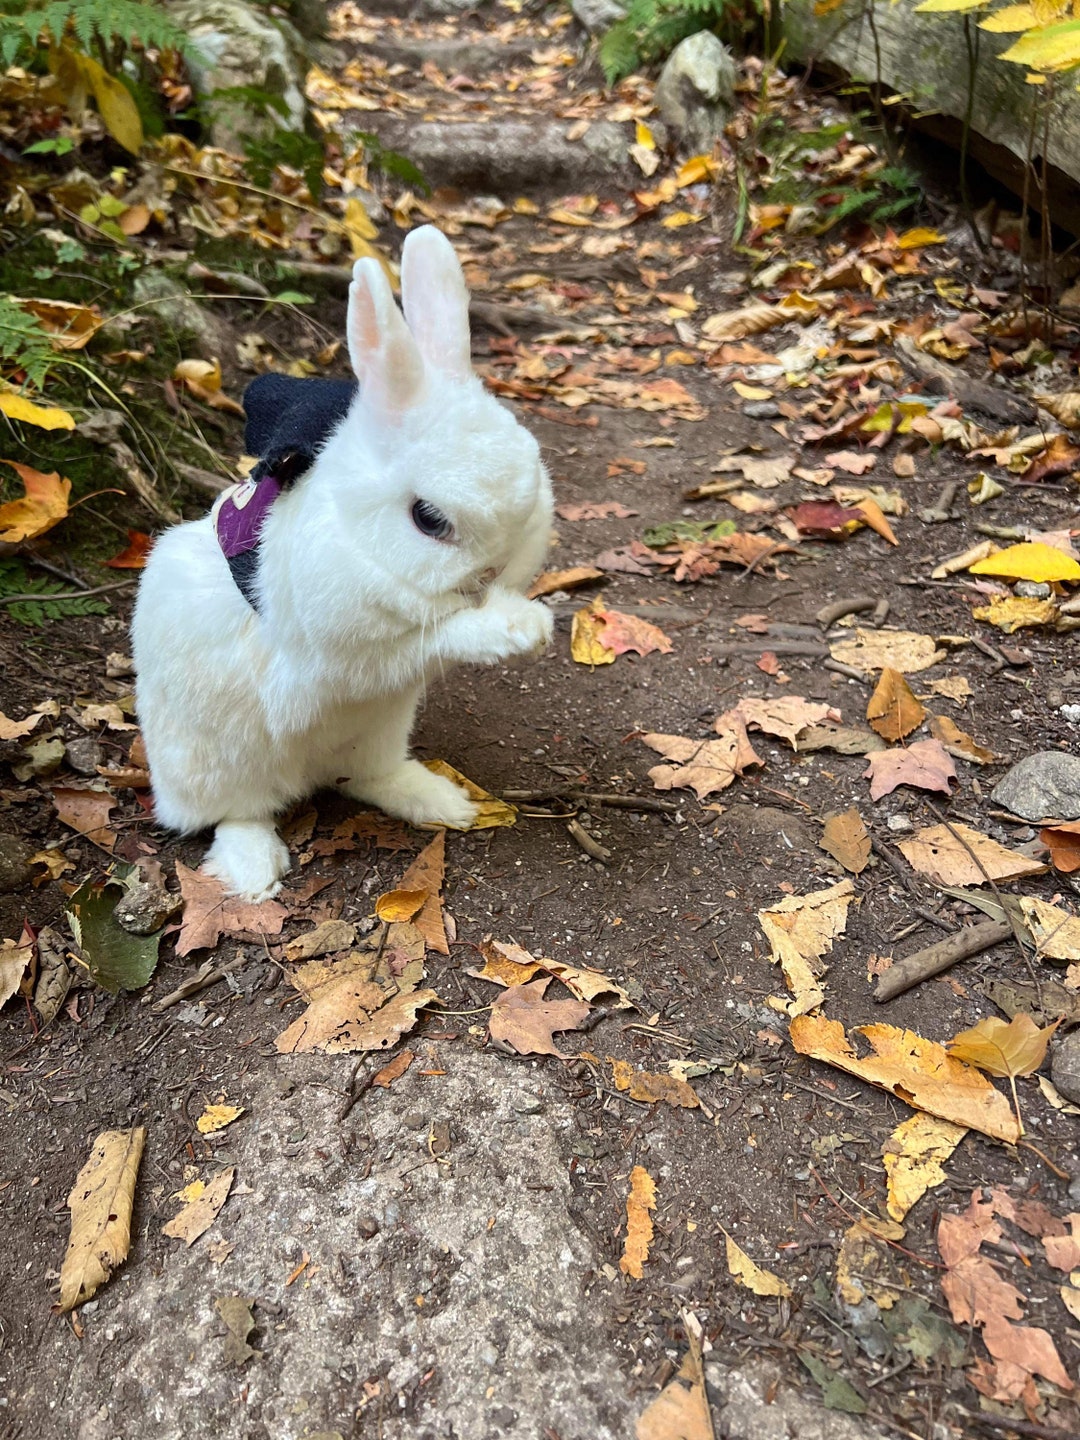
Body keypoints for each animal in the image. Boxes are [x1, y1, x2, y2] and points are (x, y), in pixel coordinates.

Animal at [132, 225, 554, 901]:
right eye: (428, 519)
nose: (491, 577)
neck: (362, 542)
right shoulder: (346, 656)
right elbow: (438, 635)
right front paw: (521, 627)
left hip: (378, 734)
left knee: (365, 779)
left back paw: (444, 803)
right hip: (214, 766)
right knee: (235, 814)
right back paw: (255, 872)